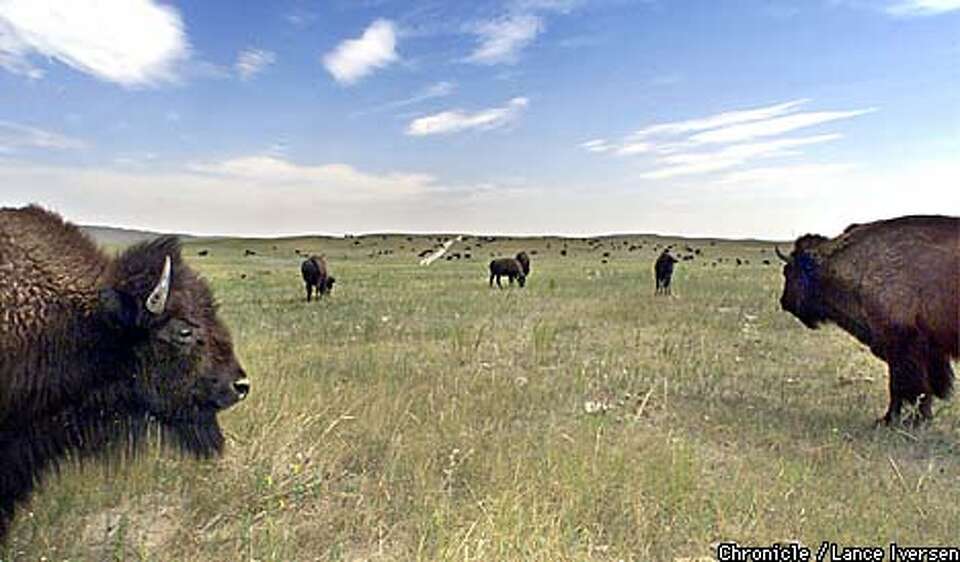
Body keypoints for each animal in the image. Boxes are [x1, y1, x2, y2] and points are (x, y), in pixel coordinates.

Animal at [777, 215, 959, 424]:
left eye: (788, 271)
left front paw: (891, 420)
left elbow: (901, 386)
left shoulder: (900, 345)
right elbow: (919, 390)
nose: (784, 302)